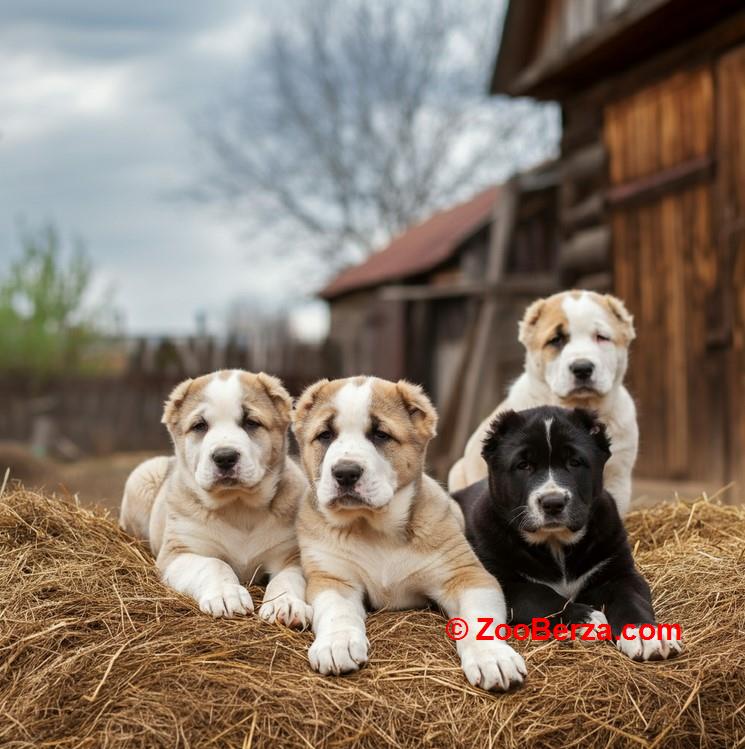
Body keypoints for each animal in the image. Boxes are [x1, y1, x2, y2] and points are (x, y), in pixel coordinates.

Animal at [120, 368, 310, 624]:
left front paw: (286, 604)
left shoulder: (291, 556)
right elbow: (214, 564)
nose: (225, 457)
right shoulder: (177, 553)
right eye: (200, 426)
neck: (238, 507)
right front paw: (226, 594)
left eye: (251, 422)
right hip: (143, 474)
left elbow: (287, 579)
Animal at [294, 376, 528, 692]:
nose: (345, 473)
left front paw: (493, 656)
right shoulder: (332, 578)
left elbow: (478, 622)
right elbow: (336, 611)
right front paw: (337, 643)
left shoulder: (468, 576)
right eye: (325, 435)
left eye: (381, 435)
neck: (374, 529)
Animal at [454, 410, 680, 660]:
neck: (556, 544)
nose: (553, 502)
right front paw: (587, 619)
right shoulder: (503, 582)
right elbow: (541, 597)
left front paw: (645, 635)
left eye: (575, 463)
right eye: (523, 465)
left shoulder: (619, 573)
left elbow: (633, 601)